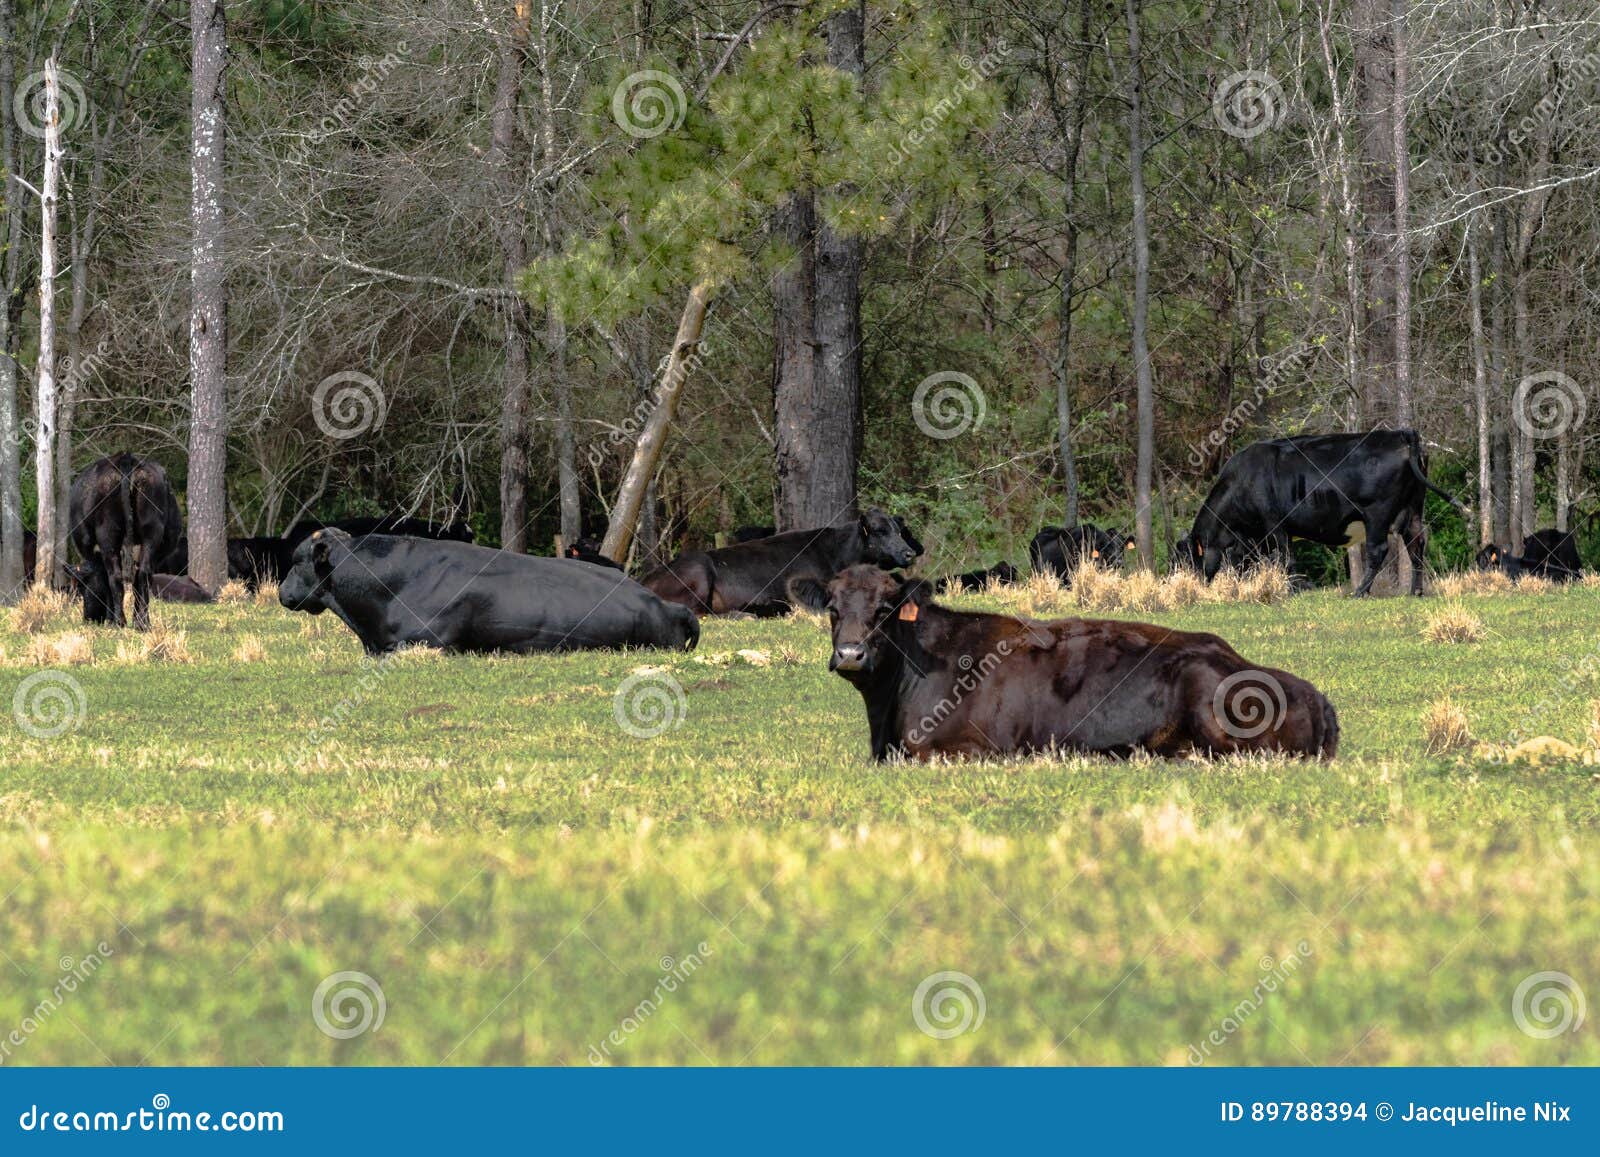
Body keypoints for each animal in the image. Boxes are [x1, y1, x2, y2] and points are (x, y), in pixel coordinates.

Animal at [67, 454, 183, 629]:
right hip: (152, 530)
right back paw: (143, 623)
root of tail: (126, 457)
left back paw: (119, 621)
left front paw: (111, 618)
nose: (88, 618)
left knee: (115, 576)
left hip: (108, 532)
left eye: (81, 587)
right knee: (143, 574)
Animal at [1183, 429, 1465, 596]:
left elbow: (1286, 558)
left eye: (1192, 557)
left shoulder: (1275, 525)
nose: (1193, 583)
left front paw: (1295, 589)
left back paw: (1359, 592)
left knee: (1379, 550)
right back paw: (1415, 591)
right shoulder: (1253, 536)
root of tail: (1400, 434)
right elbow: (1245, 561)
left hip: (1377, 513)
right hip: (1414, 509)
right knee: (1416, 545)